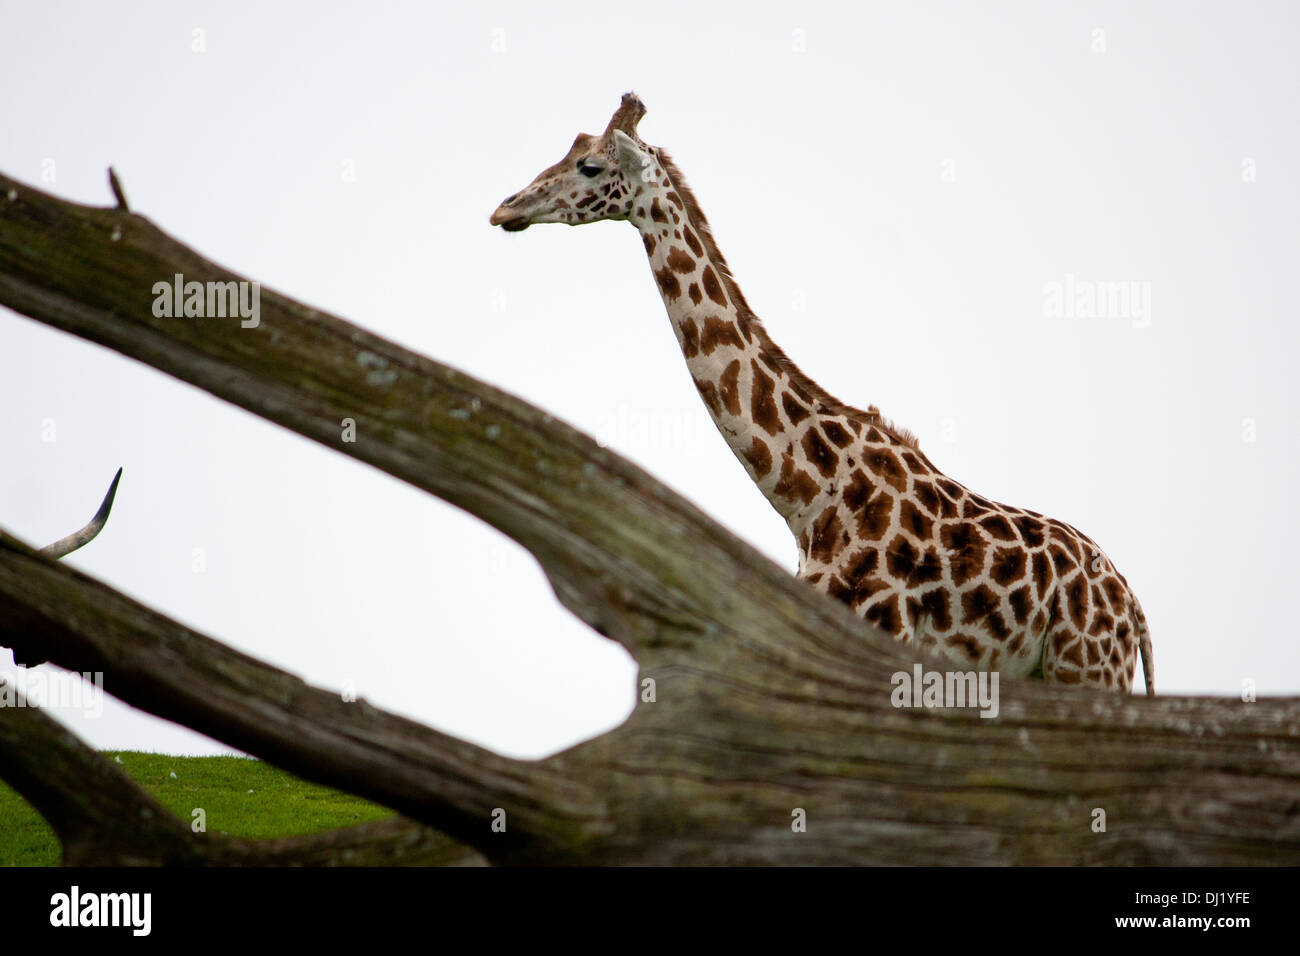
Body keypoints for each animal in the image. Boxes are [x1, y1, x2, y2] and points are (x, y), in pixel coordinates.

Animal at [490, 93, 1154, 694]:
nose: (504, 209)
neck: (810, 494)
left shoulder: (882, 635)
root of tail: (1136, 613)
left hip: (1086, 669)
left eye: (589, 167)